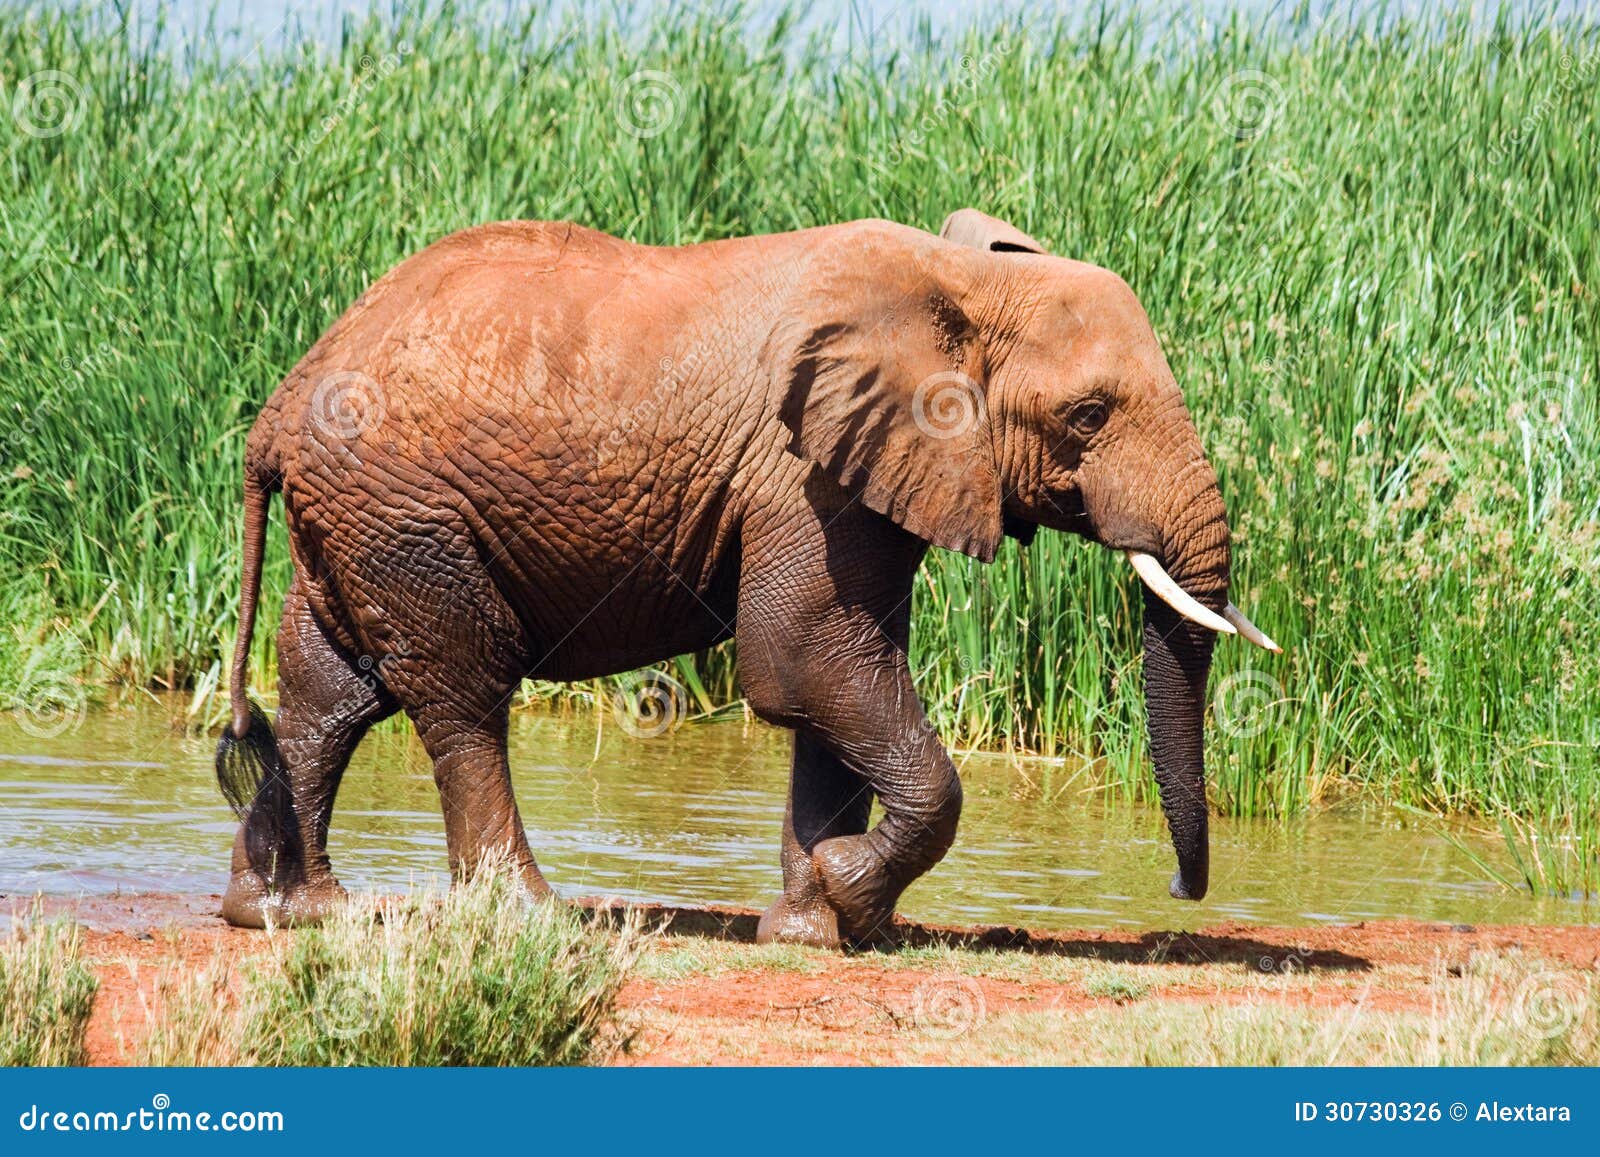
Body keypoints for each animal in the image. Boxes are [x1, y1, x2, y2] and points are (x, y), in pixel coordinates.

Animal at [214, 209, 1278, 945]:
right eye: (1088, 415)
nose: (1178, 894)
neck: (957, 281)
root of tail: (279, 410)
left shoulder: (862, 479)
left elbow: (836, 677)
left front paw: (815, 929)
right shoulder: (801, 473)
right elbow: (803, 660)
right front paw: (848, 893)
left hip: (358, 520)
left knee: (327, 687)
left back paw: (285, 912)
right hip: (406, 511)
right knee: (463, 689)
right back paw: (532, 916)